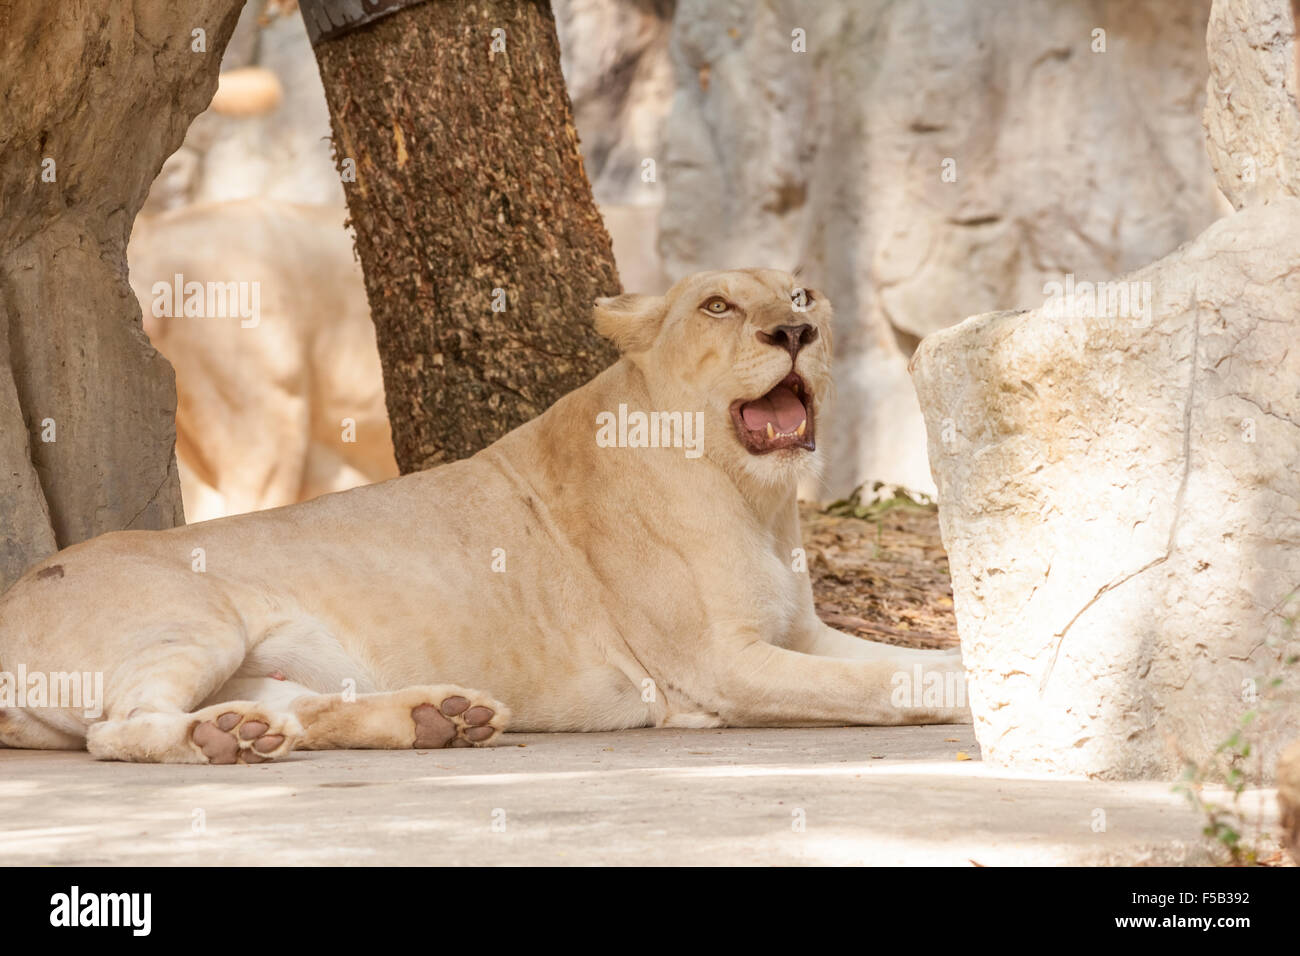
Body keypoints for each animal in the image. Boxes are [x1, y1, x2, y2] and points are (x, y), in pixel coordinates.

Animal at [0, 269, 967, 764]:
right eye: (719, 305)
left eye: (802, 299)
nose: (794, 335)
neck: (756, 497)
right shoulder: (718, 668)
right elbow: (884, 685)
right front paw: (973, 693)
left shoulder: (800, 636)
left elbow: (908, 659)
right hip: (192, 622)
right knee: (117, 731)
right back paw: (223, 740)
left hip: (263, 663)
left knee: (300, 710)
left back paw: (433, 717)